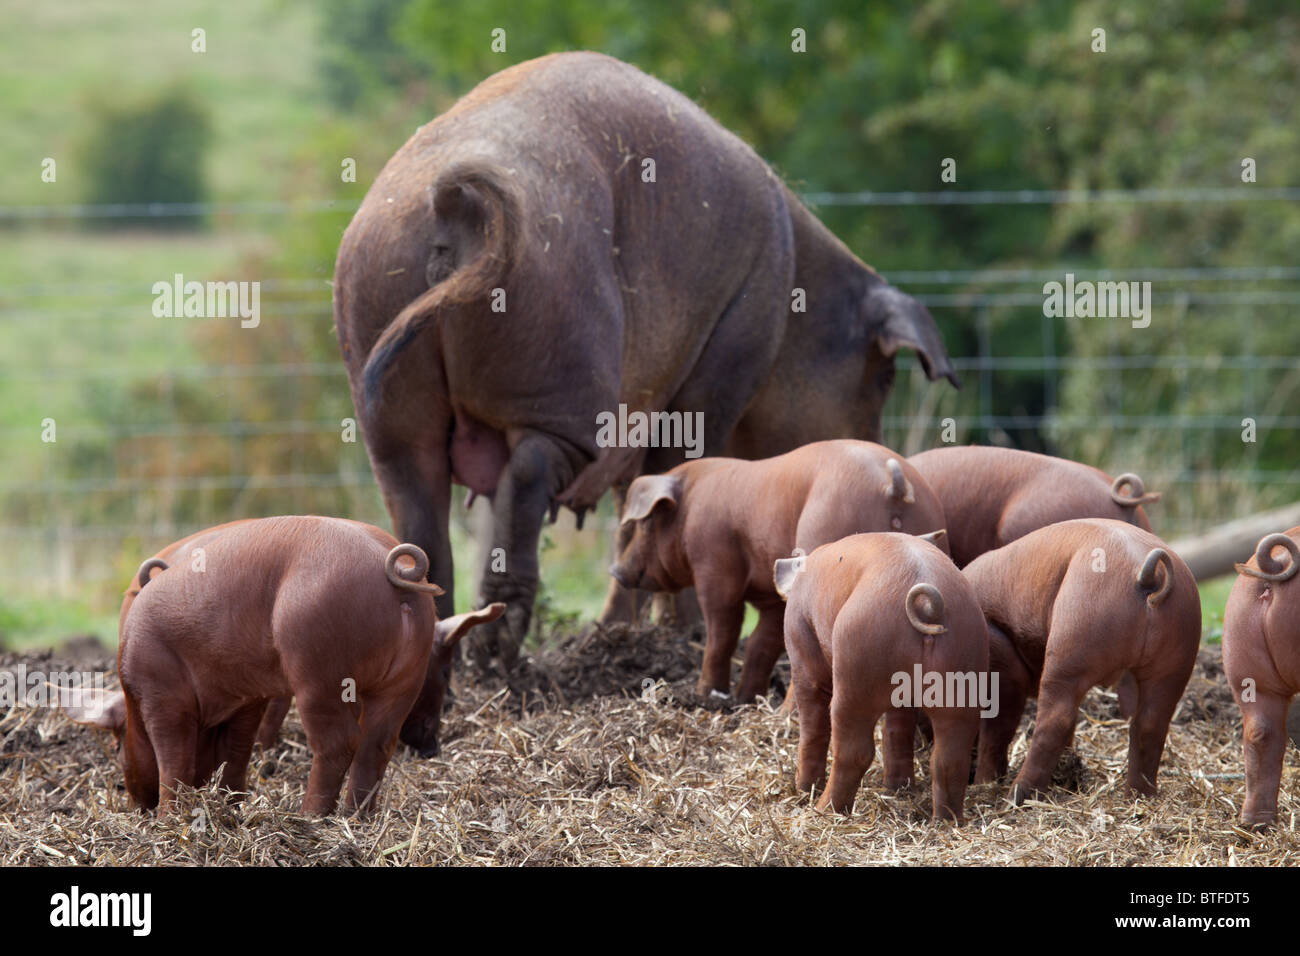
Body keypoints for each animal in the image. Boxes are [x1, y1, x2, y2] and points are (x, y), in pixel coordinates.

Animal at [63, 516, 504, 815]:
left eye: (117, 743)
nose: (140, 804)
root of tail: (392, 567)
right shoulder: (246, 698)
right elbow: (236, 753)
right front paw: (232, 807)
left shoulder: (161, 695)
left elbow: (174, 759)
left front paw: (171, 818)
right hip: (403, 678)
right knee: (377, 744)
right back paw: (355, 820)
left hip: (318, 668)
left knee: (339, 743)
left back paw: (309, 817)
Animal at [608, 439, 948, 701]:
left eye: (646, 522)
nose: (616, 570)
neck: (689, 506)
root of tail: (894, 484)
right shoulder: (770, 593)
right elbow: (762, 641)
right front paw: (746, 698)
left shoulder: (714, 565)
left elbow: (723, 630)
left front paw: (706, 694)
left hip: (822, 528)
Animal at [774, 532, 988, 821]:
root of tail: (927, 605)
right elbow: (897, 727)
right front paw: (897, 789)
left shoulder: (801, 644)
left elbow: (812, 725)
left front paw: (802, 790)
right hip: (964, 669)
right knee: (949, 755)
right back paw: (943, 821)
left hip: (856, 664)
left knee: (853, 750)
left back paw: (823, 809)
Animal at [963, 519, 1200, 802]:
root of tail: (1147, 575)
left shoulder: (1004, 671)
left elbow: (997, 727)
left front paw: (983, 784)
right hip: (1175, 662)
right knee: (1150, 722)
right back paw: (1138, 796)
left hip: (1071, 641)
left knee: (1056, 718)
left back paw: (1017, 797)